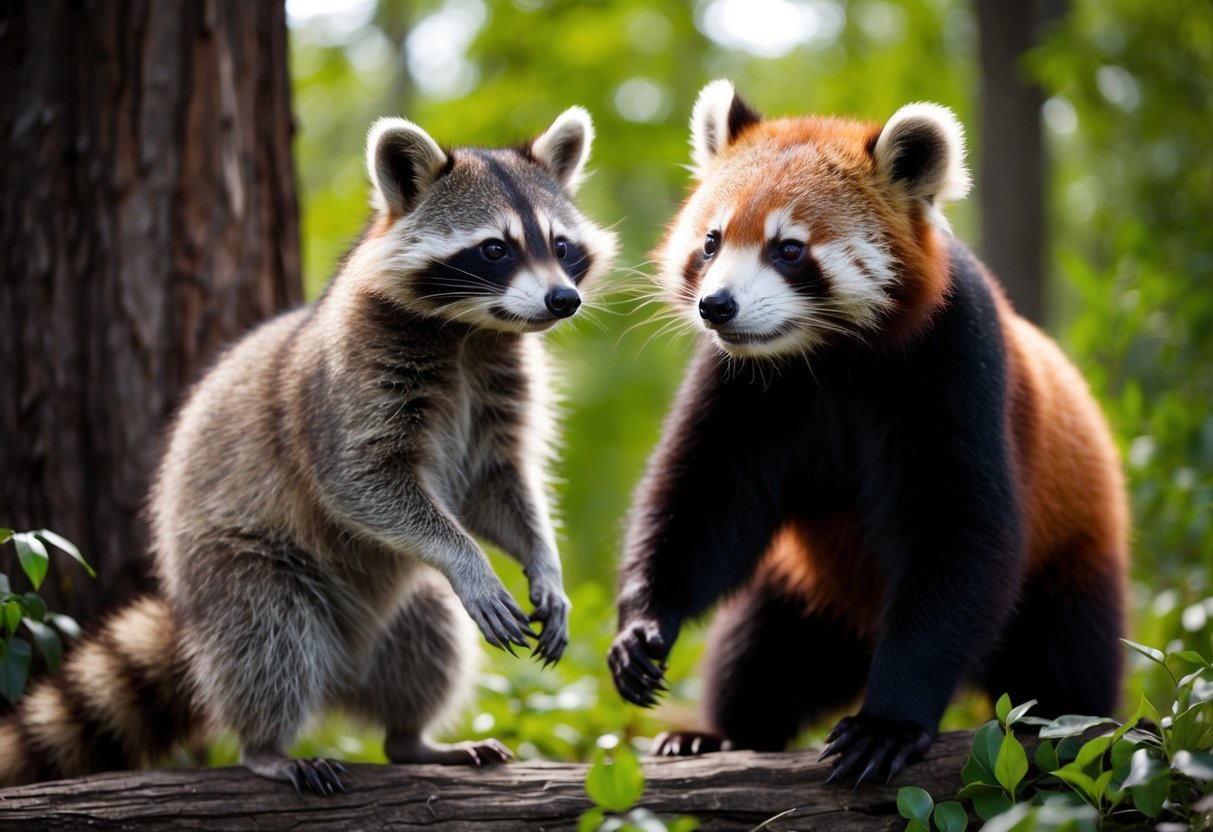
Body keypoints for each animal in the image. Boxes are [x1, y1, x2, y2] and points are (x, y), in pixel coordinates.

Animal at [0, 108, 616, 794]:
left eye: (560, 246)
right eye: (495, 249)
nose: (564, 300)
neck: (470, 331)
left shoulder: (499, 386)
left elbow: (499, 484)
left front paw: (544, 563)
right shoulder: (348, 384)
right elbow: (359, 481)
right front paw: (469, 560)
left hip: (401, 608)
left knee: (430, 637)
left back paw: (411, 737)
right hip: (238, 567)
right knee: (267, 638)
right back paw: (266, 744)